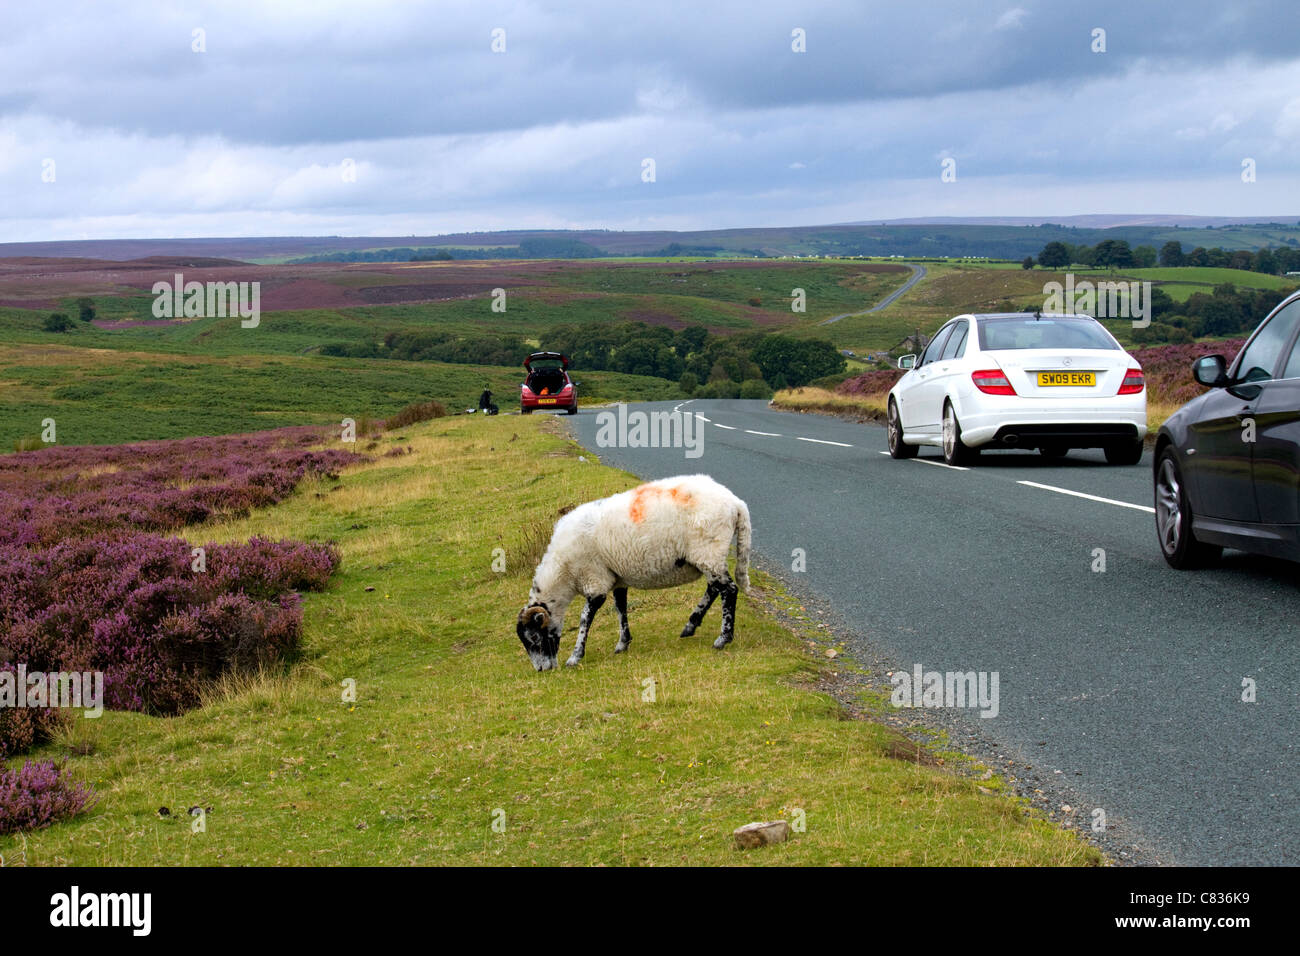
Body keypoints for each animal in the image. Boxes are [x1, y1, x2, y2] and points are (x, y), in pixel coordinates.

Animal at [516, 474, 752, 671]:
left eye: (534, 638)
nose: (542, 669)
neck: (563, 573)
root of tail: (736, 503)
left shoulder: (595, 580)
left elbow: (584, 619)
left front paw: (575, 656)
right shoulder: (616, 578)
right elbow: (621, 608)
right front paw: (622, 643)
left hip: (709, 551)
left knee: (729, 590)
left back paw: (723, 638)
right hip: (708, 557)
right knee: (714, 588)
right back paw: (690, 626)